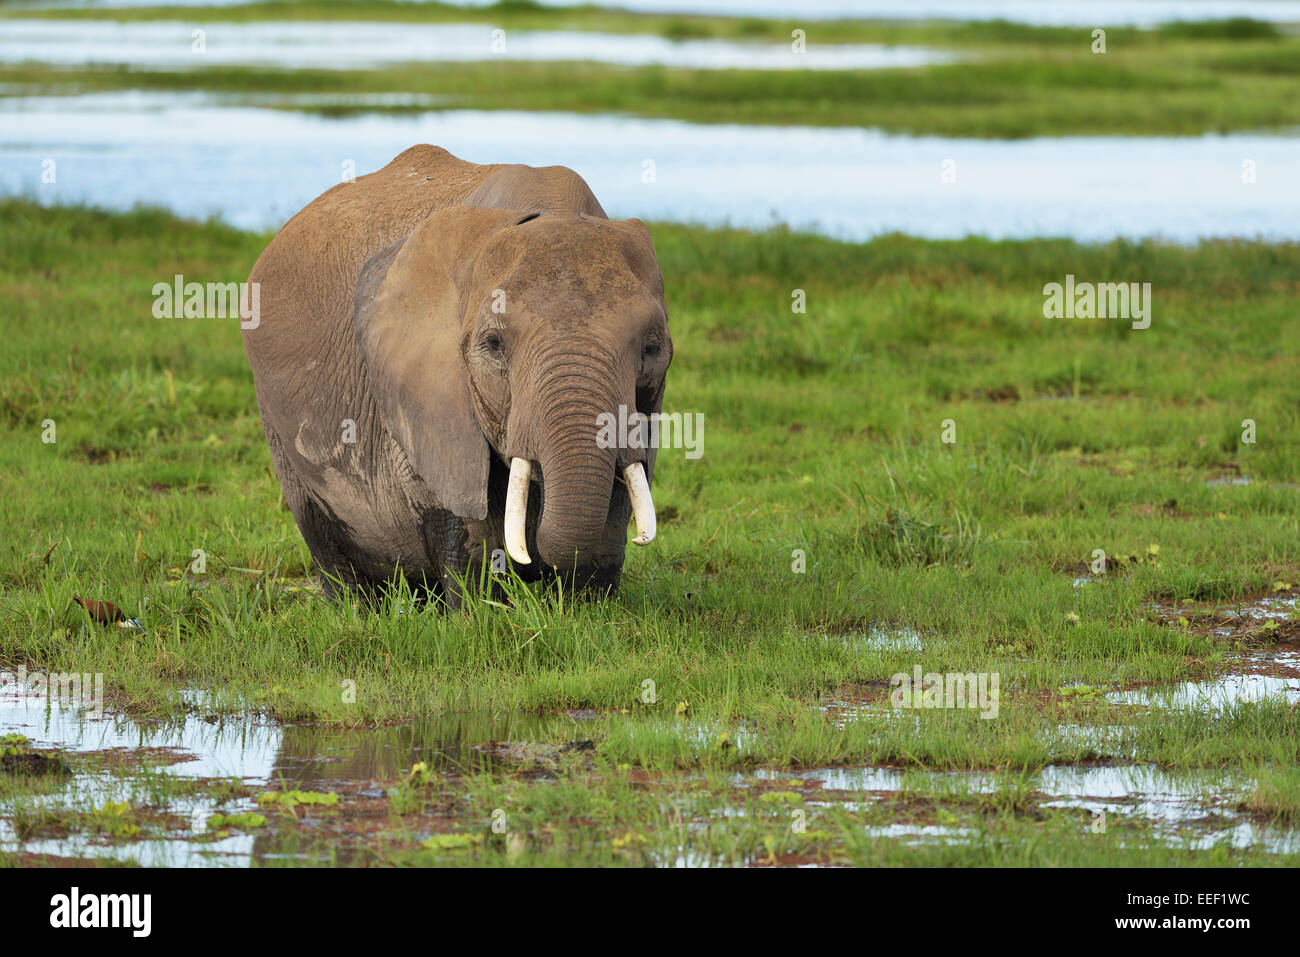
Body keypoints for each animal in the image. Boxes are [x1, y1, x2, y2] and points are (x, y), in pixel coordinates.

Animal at [242, 145, 671, 606]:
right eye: (494, 344)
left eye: (651, 349)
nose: (535, 565)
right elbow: (470, 522)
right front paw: (484, 611)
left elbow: (616, 508)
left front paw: (582, 609)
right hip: (276, 424)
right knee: (322, 535)